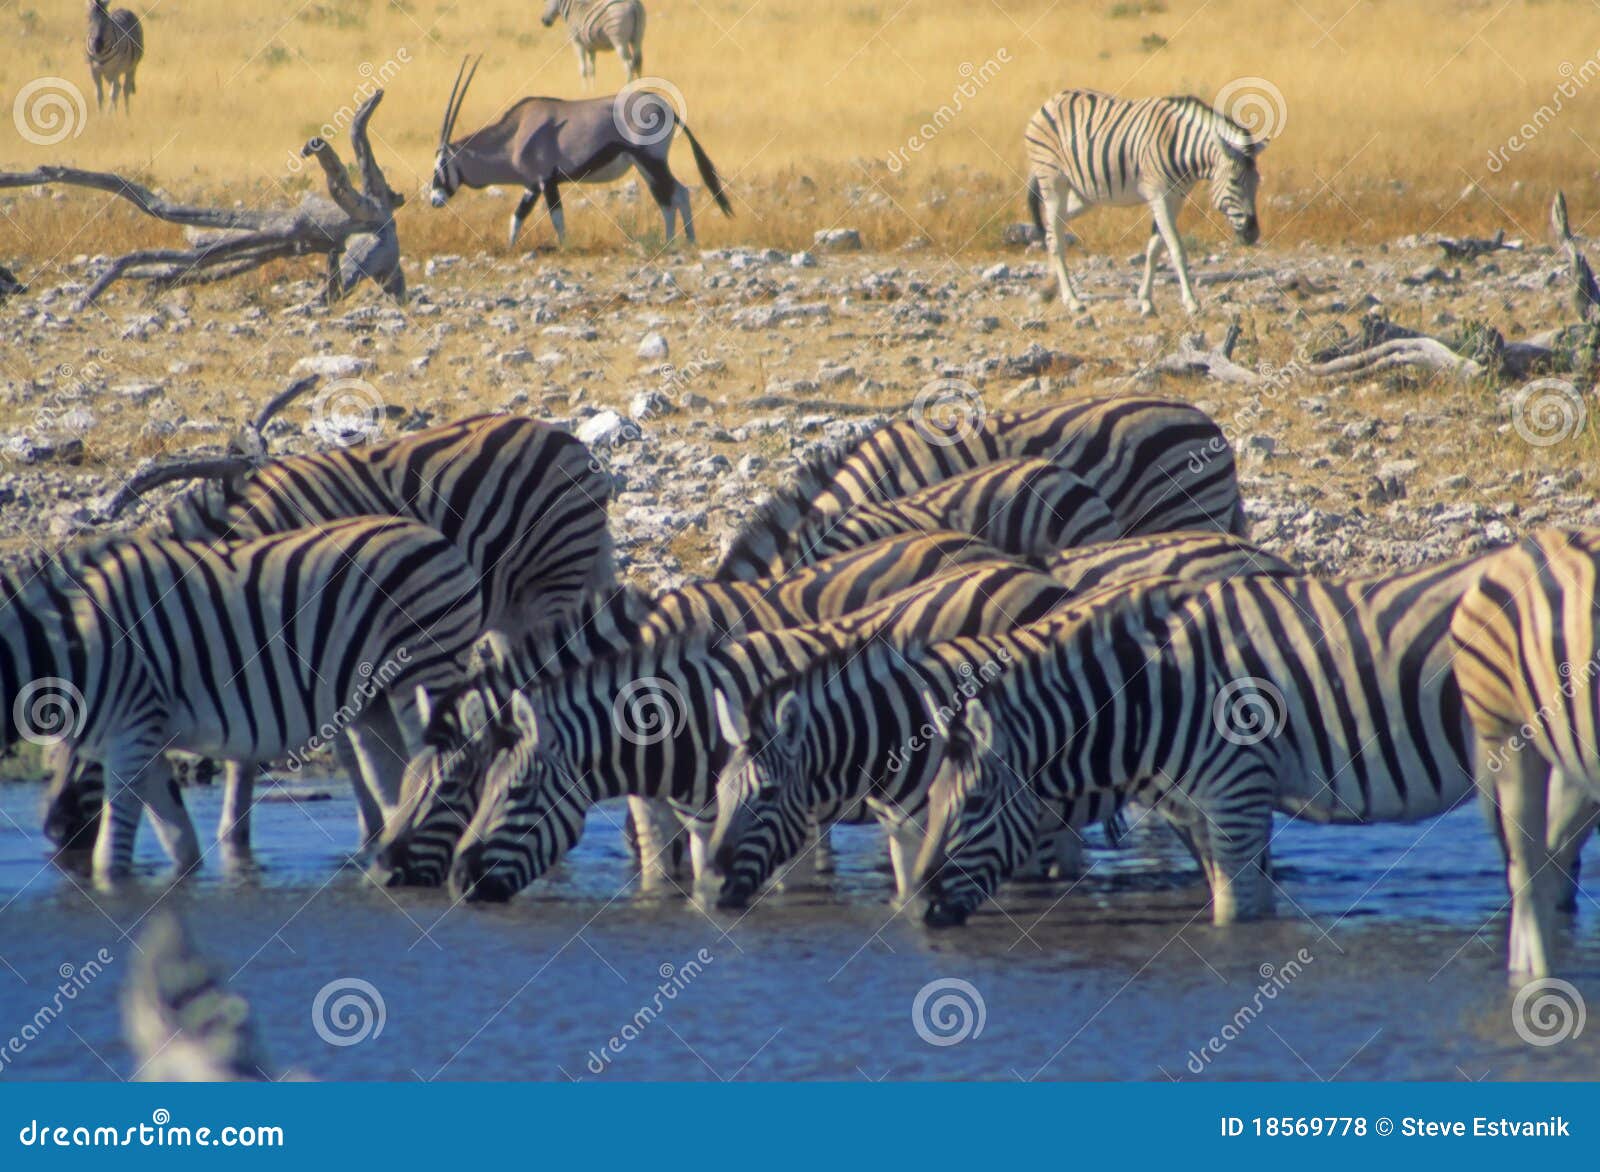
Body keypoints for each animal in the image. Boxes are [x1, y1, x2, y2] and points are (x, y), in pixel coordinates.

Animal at [4, 518, 483, 878]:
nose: (55, 833)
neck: (78, 645)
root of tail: (437, 537)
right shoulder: (145, 739)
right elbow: (180, 842)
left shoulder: (133, 730)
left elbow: (112, 857)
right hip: (376, 701)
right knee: (393, 786)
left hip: (426, 669)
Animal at [43, 413, 612, 857]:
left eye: (97, 708)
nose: (55, 832)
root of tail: (567, 440)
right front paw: (239, 845)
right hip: (523, 606)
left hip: (546, 594)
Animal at [429, 57, 731, 251]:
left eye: (442, 164)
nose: (434, 199)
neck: (514, 135)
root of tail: (666, 108)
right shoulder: (533, 185)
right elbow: (517, 217)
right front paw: (509, 248)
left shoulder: (545, 182)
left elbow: (555, 217)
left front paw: (564, 248)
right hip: (647, 166)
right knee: (674, 195)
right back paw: (683, 241)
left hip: (651, 162)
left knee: (673, 196)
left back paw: (674, 243)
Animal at [1025, 90, 1267, 317]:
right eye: (1234, 182)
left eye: (1257, 182)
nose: (1252, 234)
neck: (1182, 149)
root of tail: (1052, 100)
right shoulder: (1159, 196)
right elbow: (1176, 249)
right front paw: (1191, 303)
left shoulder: (1176, 199)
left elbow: (1154, 249)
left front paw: (1146, 301)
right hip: (1053, 181)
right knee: (1055, 238)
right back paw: (1072, 300)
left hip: (1085, 194)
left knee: (1052, 230)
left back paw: (1048, 289)